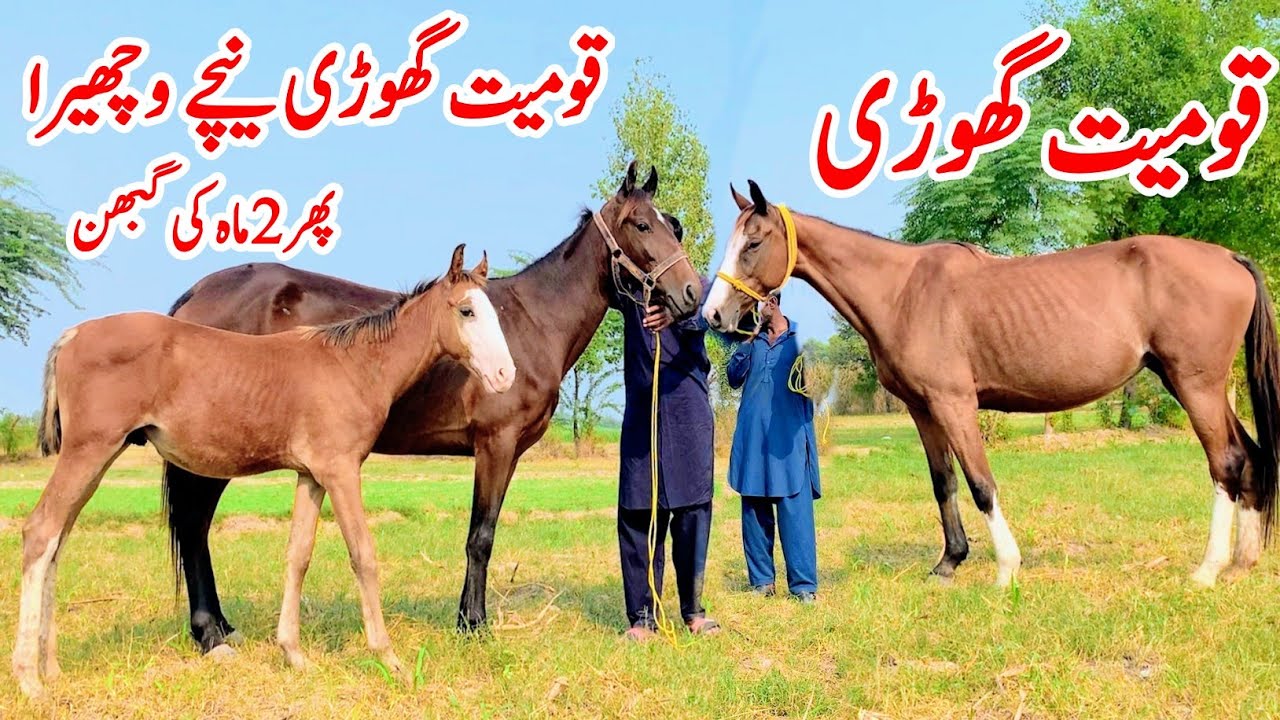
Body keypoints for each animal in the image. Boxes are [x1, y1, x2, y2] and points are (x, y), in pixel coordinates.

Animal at [13, 245, 513, 698]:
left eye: (494, 311)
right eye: (467, 310)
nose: (505, 376)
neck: (353, 365)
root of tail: (72, 334)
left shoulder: (312, 475)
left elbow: (298, 555)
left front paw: (294, 654)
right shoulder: (341, 471)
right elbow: (363, 556)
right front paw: (391, 660)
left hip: (97, 458)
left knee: (57, 540)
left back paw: (52, 668)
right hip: (89, 452)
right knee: (41, 532)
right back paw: (29, 679)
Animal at [158, 162, 700, 653]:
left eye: (673, 223)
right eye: (642, 224)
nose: (691, 294)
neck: (530, 322)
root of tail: (196, 295)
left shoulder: (507, 453)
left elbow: (482, 533)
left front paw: (466, 620)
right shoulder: (495, 445)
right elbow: (481, 537)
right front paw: (474, 626)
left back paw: (220, 628)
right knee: (195, 526)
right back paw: (210, 634)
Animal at [703, 179, 1280, 588]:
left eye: (752, 243)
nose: (713, 314)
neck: (903, 291)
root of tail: (1229, 257)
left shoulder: (955, 403)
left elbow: (981, 482)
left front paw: (1006, 568)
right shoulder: (923, 409)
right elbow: (944, 483)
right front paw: (948, 563)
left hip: (1195, 384)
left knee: (1226, 461)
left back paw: (1207, 570)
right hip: (1195, 384)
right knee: (1251, 455)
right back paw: (1243, 562)